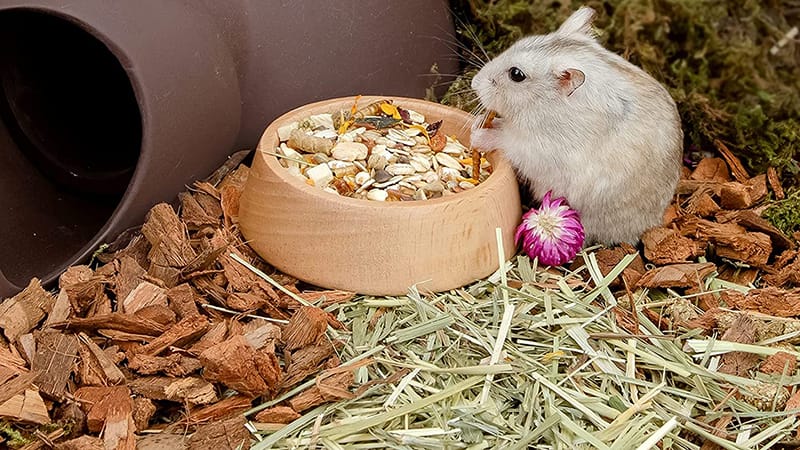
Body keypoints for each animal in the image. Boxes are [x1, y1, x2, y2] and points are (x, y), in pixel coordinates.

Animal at [470, 6, 682, 245]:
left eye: (517, 74)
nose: (474, 83)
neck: (542, 105)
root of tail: (653, 223)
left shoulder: (540, 149)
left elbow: (507, 140)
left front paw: (477, 134)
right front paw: (478, 121)